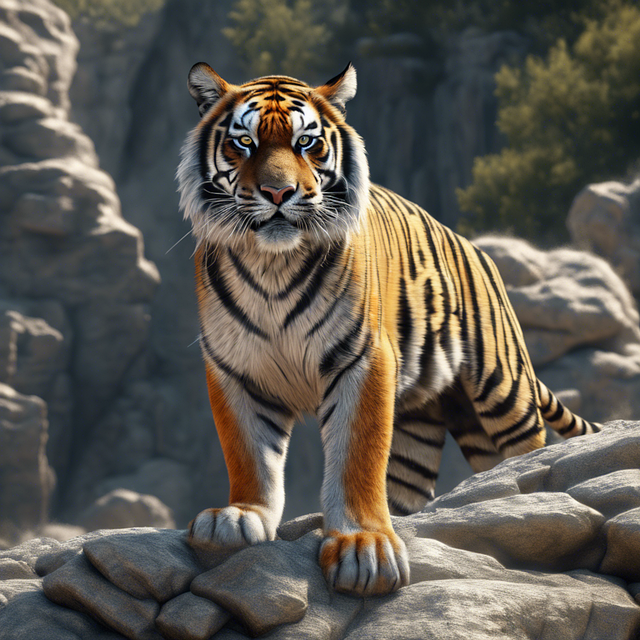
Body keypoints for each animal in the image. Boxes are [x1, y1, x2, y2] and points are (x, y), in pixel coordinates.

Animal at [177, 62, 601, 597]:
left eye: (307, 143)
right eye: (245, 143)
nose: (277, 193)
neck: (273, 263)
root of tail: (476, 249)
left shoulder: (361, 358)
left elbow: (357, 455)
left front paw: (365, 548)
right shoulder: (234, 366)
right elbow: (248, 451)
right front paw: (238, 517)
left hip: (502, 390)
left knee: (525, 449)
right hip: (429, 423)